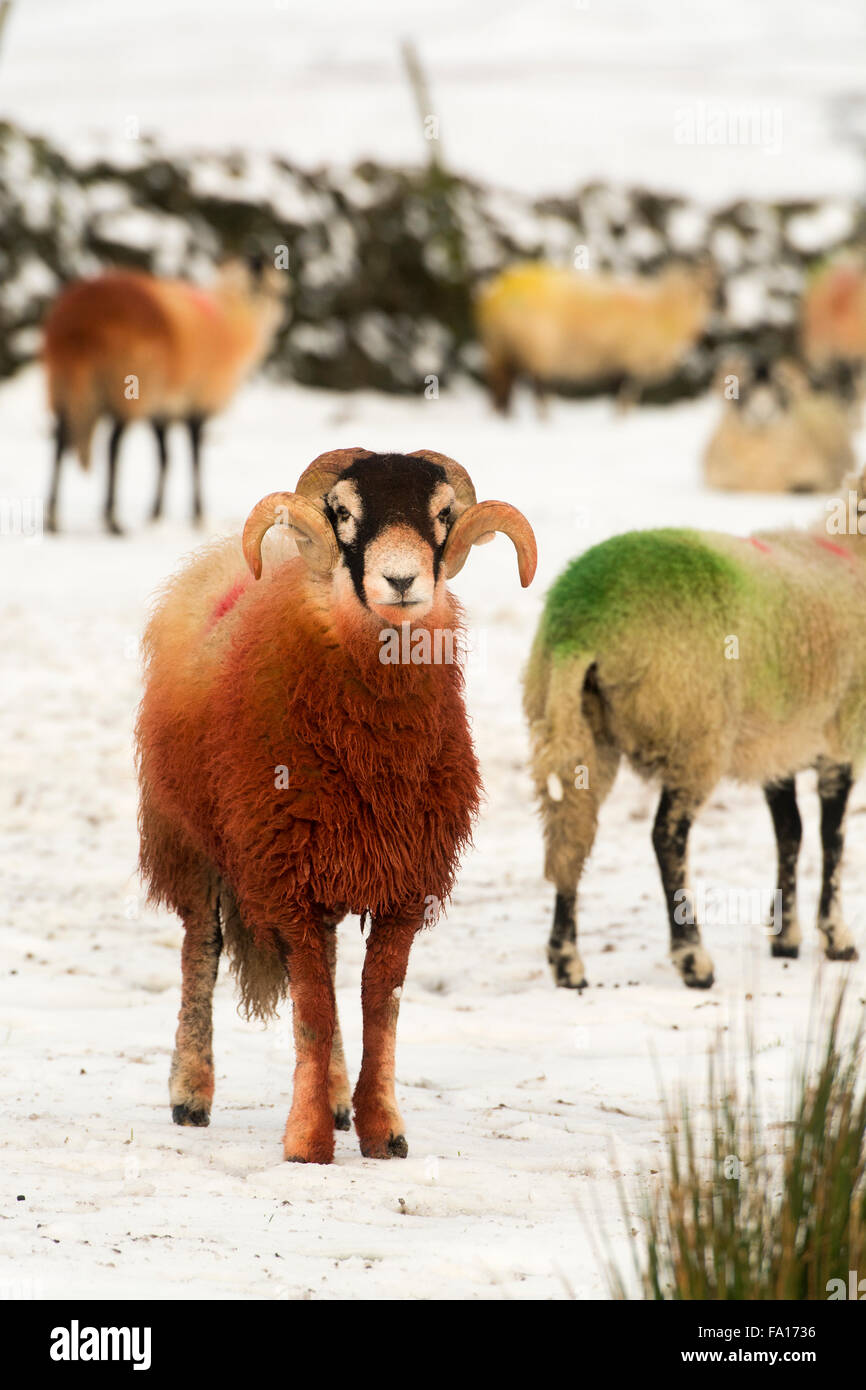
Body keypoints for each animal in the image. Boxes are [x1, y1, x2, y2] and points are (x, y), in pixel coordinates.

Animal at [42, 255, 286, 534]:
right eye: (274, 290)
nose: (256, 261)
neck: (232, 324)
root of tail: (79, 324)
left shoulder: (162, 410)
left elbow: (165, 458)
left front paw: (155, 514)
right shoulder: (195, 404)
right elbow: (194, 459)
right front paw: (197, 515)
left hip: (62, 386)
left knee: (60, 440)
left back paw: (53, 518)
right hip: (125, 388)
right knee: (113, 446)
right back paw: (113, 520)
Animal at [135, 447, 537, 1163]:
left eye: (442, 514)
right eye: (344, 513)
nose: (402, 579)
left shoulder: (404, 881)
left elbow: (378, 1003)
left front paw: (382, 1128)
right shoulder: (284, 875)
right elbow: (315, 1013)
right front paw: (305, 1142)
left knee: (320, 965)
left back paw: (337, 1096)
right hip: (188, 840)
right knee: (201, 951)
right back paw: (192, 1091)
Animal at [475, 259, 714, 413]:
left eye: (708, 288)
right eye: (700, 287)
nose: (703, 333)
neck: (663, 310)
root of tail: (494, 295)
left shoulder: (614, 366)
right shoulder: (629, 364)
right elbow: (623, 403)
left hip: (499, 348)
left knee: (501, 392)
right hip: (537, 349)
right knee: (538, 392)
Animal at [523, 474, 866, 992]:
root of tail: (579, 628)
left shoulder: (778, 747)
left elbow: (790, 834)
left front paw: (785, 937)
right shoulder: (841, 737)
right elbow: (832, 838)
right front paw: (836, 937)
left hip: (577, 727)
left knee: (570, 833)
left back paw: (567, 962)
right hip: (691, 733)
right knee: (667, 838)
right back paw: (693, 958)